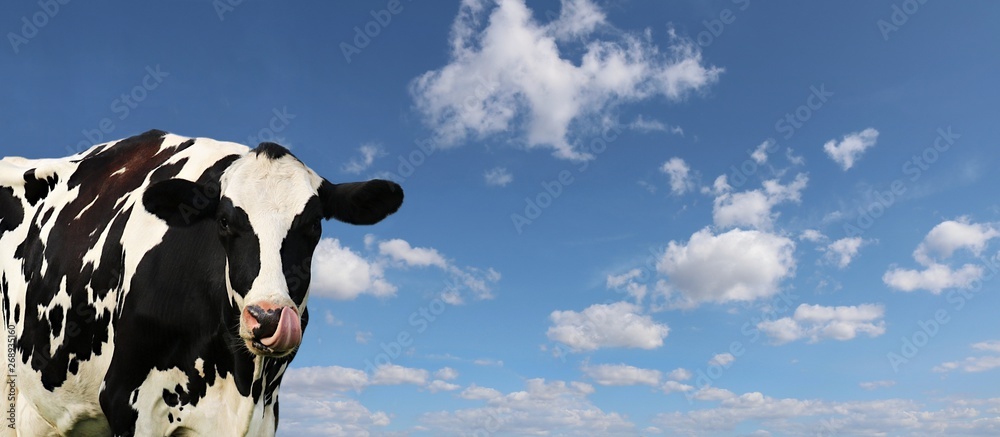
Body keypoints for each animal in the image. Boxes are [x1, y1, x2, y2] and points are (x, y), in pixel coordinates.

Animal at [0, 129, 403, 436]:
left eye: (315, 224)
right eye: (223, 221)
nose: (268, 318)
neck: (239, 378)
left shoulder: (264, 414)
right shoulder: (127, 400)